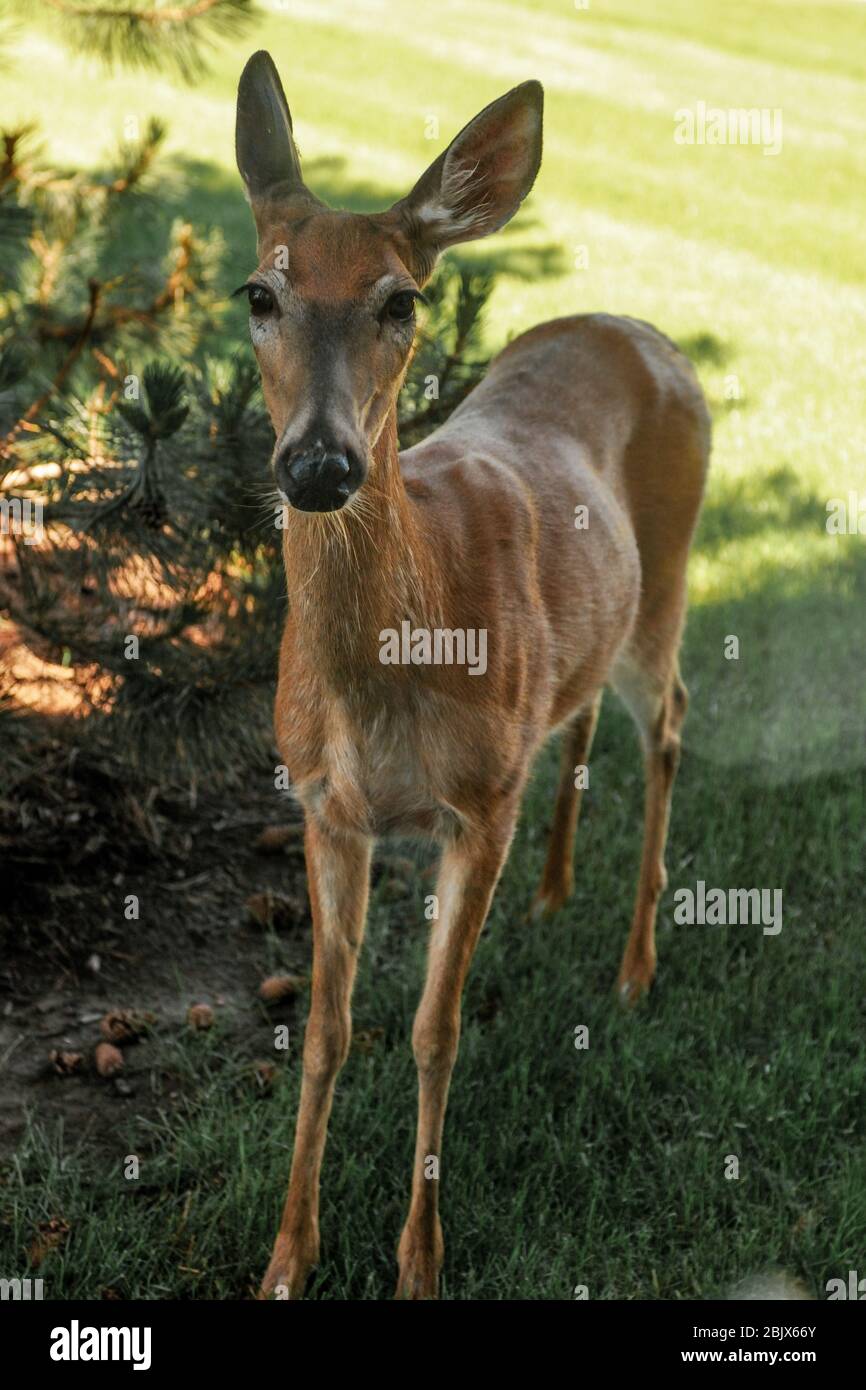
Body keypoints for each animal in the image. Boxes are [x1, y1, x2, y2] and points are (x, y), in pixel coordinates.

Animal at [234, 50, 710, 1301]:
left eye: (400, 300)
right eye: (260, 295)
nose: (318, 464)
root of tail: (641, 325)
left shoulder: (478, 803)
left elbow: (432, 1029)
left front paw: (418, 1261)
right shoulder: (323, 803)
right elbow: (329, 1027)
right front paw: (286, 1258)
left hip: (666, 581)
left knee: (669, 720)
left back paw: (634, 965)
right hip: (588, 626)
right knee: (579, 712)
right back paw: (552, 894)